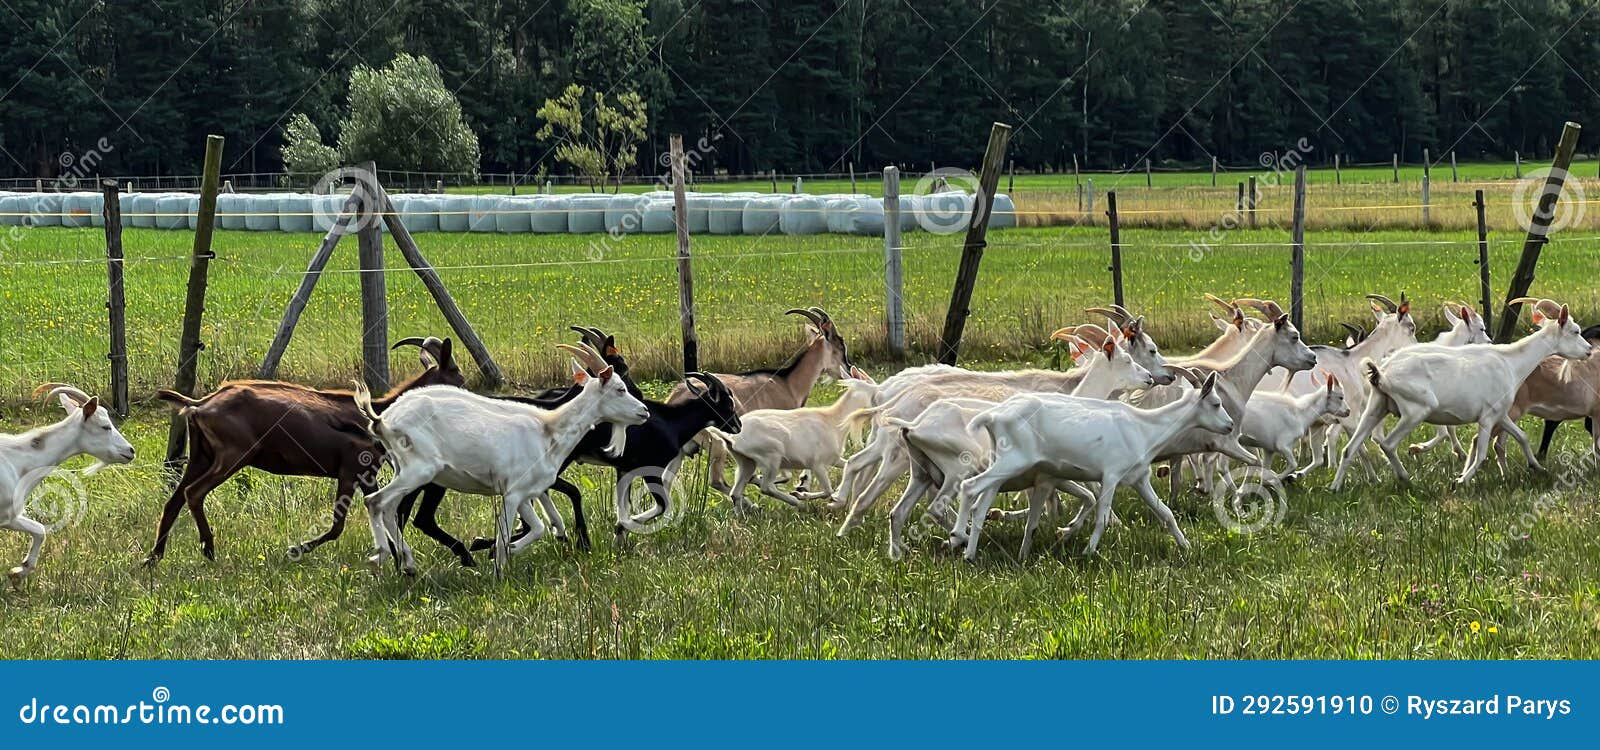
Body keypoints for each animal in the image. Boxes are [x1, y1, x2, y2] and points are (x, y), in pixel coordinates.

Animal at [1, 384, 135, 585]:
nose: (130, 451)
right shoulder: (6, 515)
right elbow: (40, 529)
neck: (17, 460)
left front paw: (19, 572)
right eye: (105, 426)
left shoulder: (10, 516)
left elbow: (40, 530)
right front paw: (19, 571)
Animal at [146, 337, 463, 565]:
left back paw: (154, 557)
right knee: (194, 493)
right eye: (457, 377)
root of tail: (200, 404)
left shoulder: (366, 476)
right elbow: (337, 527)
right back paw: (209, 550)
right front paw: (298, 548)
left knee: (174, 500)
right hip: (232, 455)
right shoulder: (350, 471)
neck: (378, 413)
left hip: (201, 456)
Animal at [357, 342, 651, 574]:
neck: (549, 430)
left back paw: (408, 564)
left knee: (391, 510)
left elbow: (539, 527)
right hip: (420, 470)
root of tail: (382, 420)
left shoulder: (523, 493)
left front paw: (504, 551)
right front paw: (499, 567)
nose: (645, 411)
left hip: (405, 470)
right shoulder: (511, 494)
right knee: (375, 502)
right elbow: (511, 532)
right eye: (620, 388)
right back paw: (381, 554)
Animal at [955, 372, 1234, 560]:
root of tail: (994, 415)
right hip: (1014, 460)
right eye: (1216, 403)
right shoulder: (1111, 475)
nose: (1230, 425)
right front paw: (1088, 552)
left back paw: (971, 551)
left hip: (1003, 462)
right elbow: (1102, 518)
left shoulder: (1139, 478)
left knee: (981, 504)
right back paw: (959, 537)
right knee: (969, 486)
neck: (1144, 428)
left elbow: (1165, 513)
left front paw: (1187, 546)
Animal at [1331, 298, 1593, 489]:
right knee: (1387, 444)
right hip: (1415, 410)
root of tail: (1381, 372)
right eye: (1575, 331)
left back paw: (1335, 486)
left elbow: (1522, 436)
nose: (1590, 350)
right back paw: (1406, 478)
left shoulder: (1501, 414)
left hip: (1376, 406)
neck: (1509, 361)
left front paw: (1537, 467)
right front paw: (1461, 479)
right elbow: (1482, 452)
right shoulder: (1487, 417)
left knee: (1349, 448)